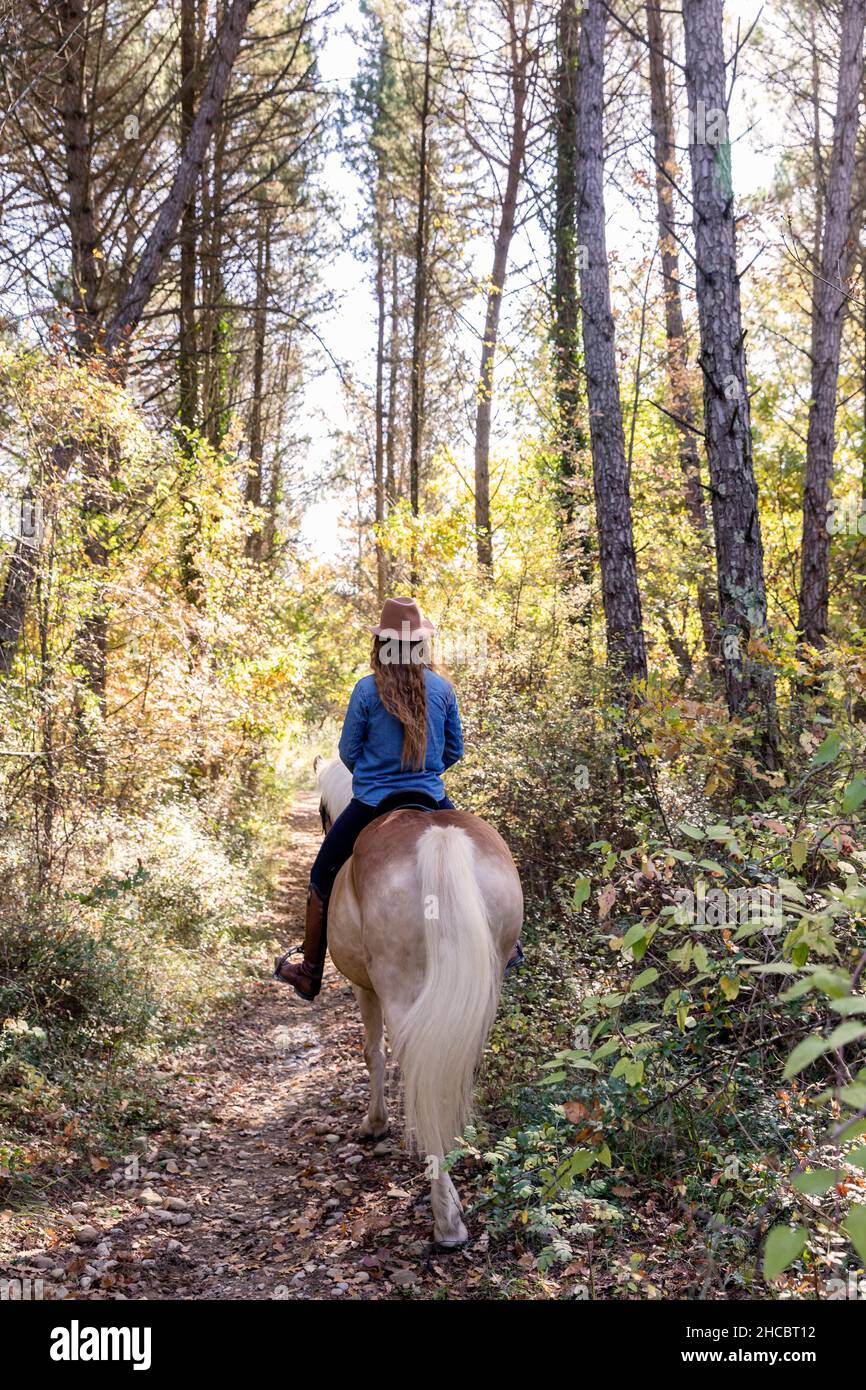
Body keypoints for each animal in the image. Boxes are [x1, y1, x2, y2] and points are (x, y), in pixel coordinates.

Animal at [310, 755, 523, 1248]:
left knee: (413, 1064)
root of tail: (437, 837)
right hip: (487, 978)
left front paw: (374, 1124)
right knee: (463, 1058)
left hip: (397, 984)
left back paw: (446, 1218)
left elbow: (372, 1052)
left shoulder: (365, 987)